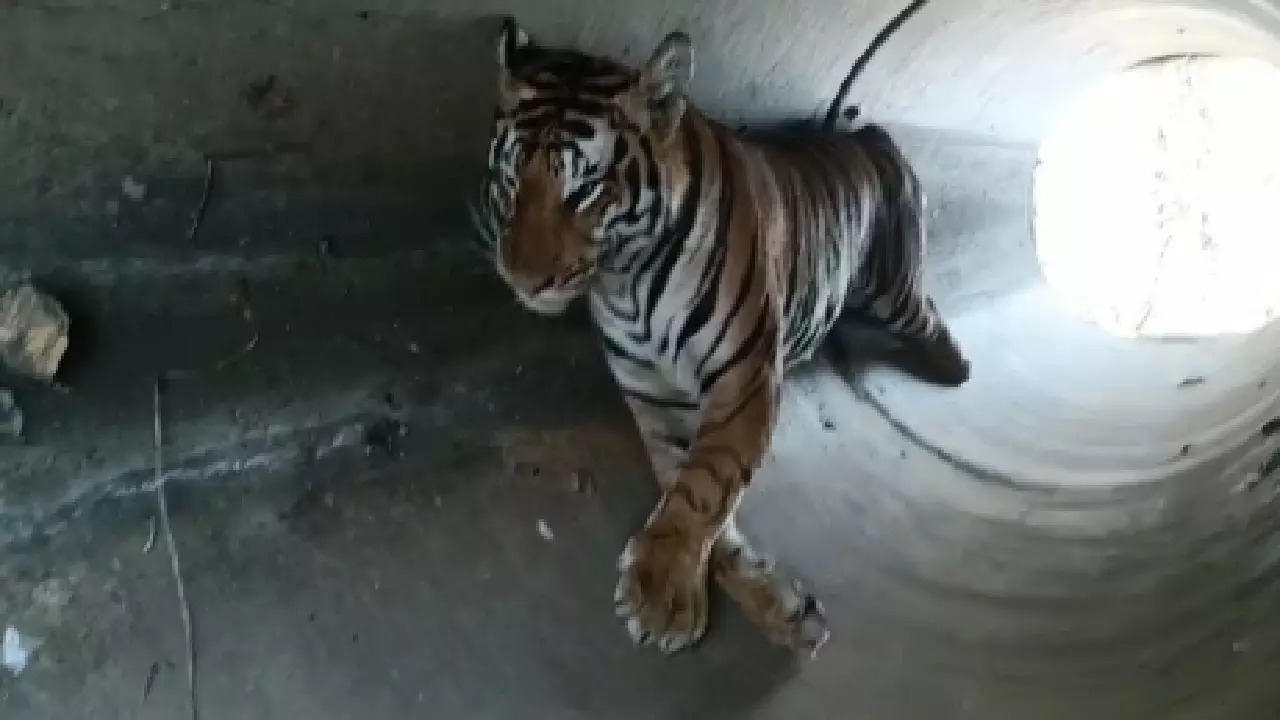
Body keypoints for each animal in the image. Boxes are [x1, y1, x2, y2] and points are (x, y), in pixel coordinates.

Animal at [470, 17, 971, 656]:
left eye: (585, 189)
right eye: (511, 177)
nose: (524, 279)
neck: (626, 280)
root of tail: (867, 132)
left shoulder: (744, 377)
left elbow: (708, 483)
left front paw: (659, 594)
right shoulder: (654, 394)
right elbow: (693, 494)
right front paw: (774, 606)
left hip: (893, 284)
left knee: (924, 311)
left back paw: (954, 366)